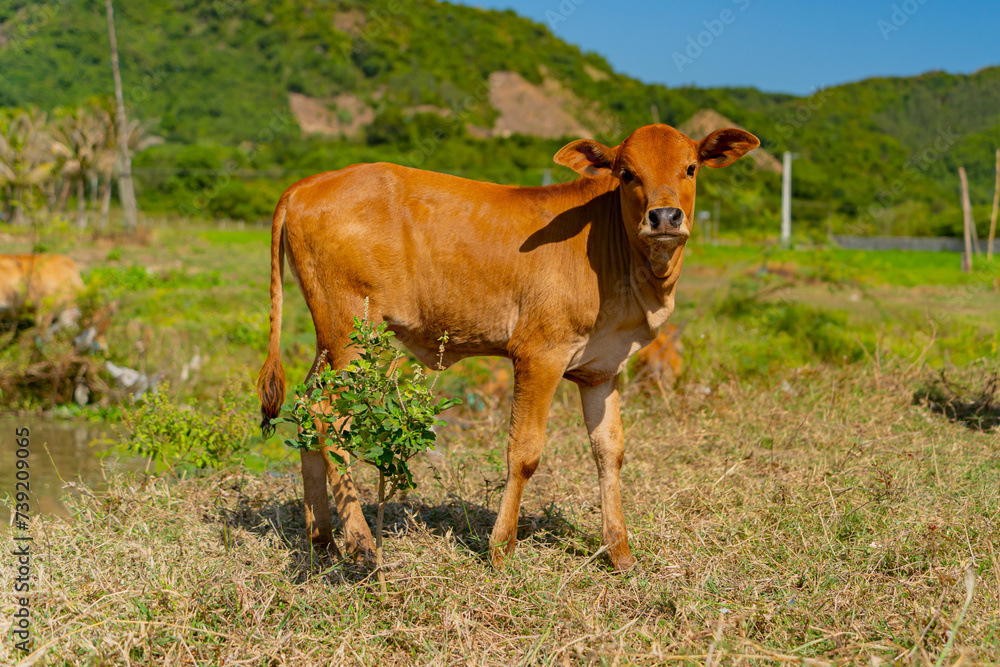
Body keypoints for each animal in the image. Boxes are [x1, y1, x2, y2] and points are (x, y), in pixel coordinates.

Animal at [258, 123, 759, 571]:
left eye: (691, 168)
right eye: (627, 173)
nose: (664, 217)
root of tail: (307, 184)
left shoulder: (602, 369)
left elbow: (609, 451)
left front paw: (620, 553)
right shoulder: (539, 355)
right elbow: (525, 452)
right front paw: (501, 549)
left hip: (331, 343)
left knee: (305, 409)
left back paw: (322, 541)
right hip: (350, 334)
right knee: (326, 415)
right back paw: (361, 543)